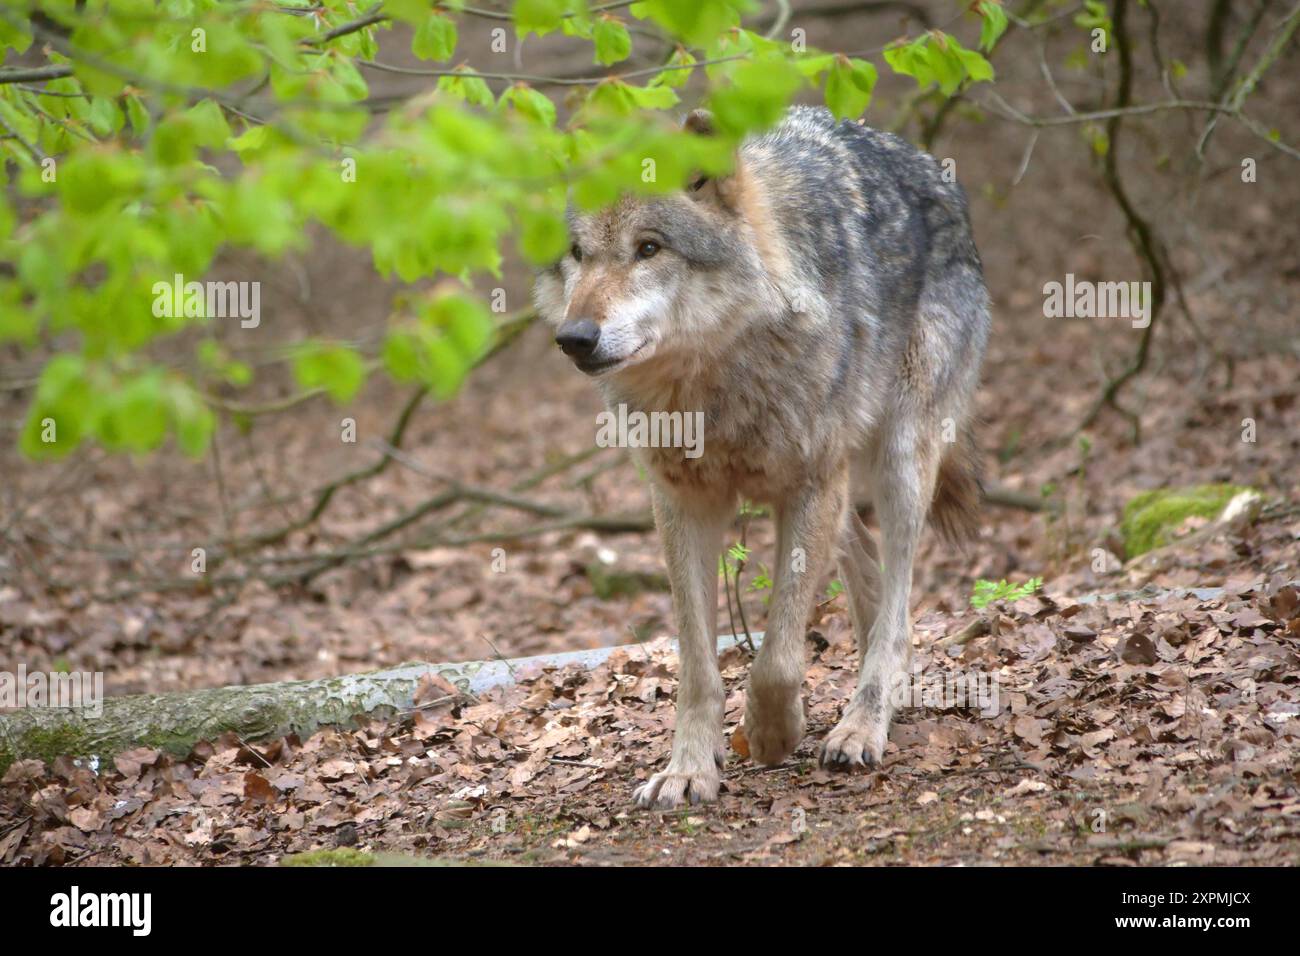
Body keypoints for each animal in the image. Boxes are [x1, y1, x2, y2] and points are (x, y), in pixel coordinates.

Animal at [533, 105, 990, 809]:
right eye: (579, 255)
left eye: (648, 248)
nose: (574, 337)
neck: (713, 380)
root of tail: (927, 166)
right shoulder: (683, 502)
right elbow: (698, 665)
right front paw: (689, 769)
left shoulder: (809, 486)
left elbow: (776, 657)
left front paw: (773, 735)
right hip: (843, 485)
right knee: (873, 585)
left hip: (899, 460)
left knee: (898, 607)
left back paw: (863, 725)